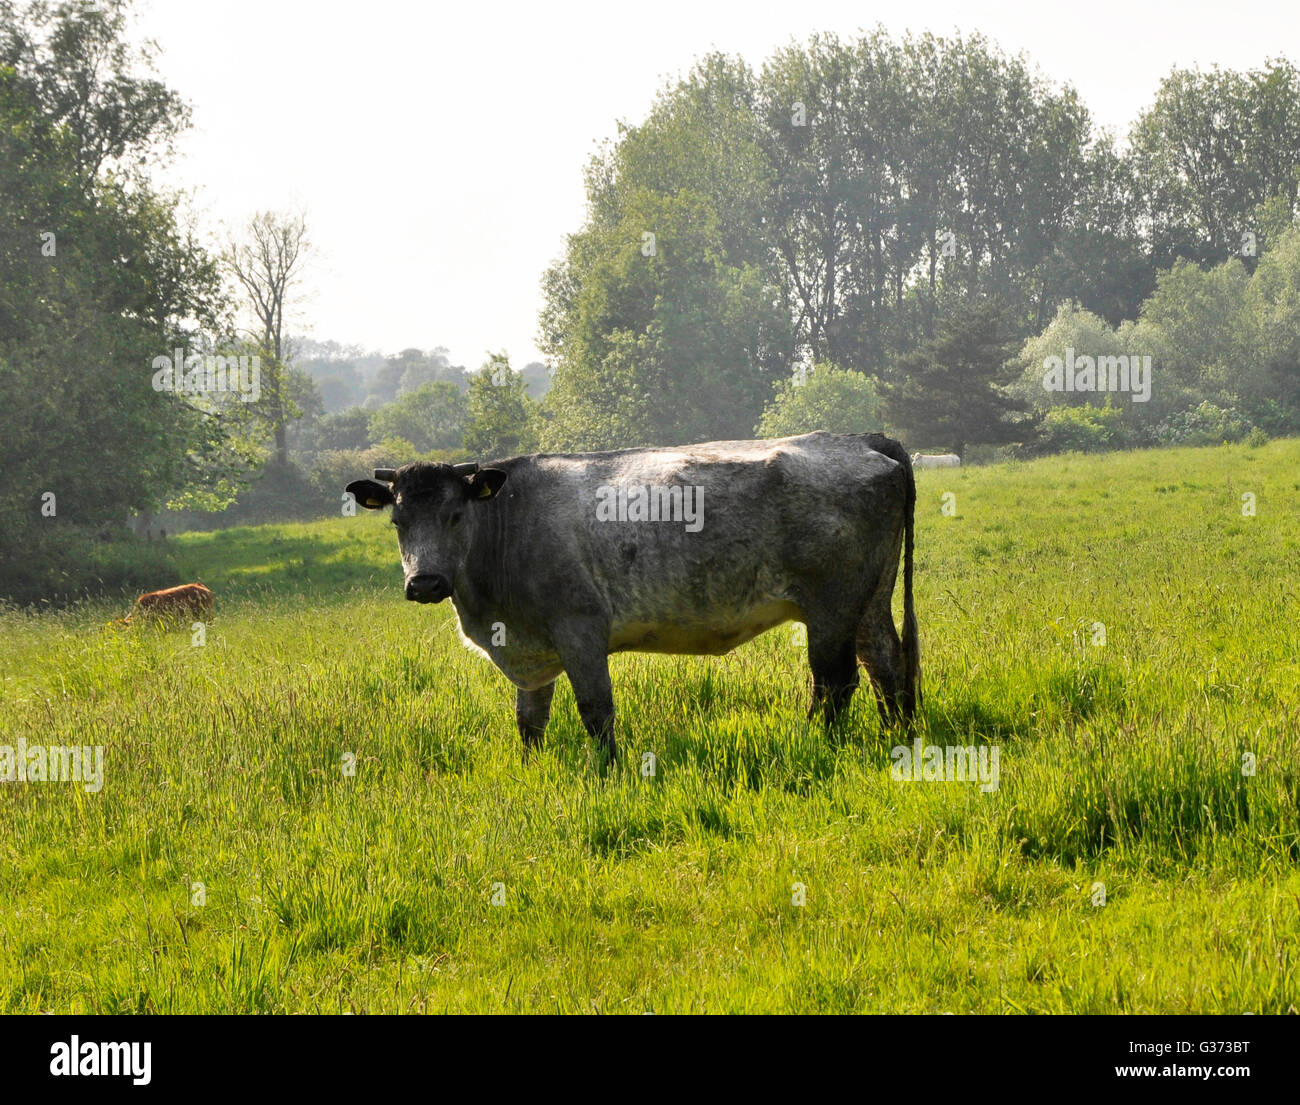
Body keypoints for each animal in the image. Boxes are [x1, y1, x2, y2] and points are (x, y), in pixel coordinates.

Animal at [346, 431, 920, 762]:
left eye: (455, 514)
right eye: (397, 521)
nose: (425, 583)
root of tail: (859, 437)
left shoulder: (578, 627)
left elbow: (595, 708)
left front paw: (609, 772)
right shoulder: (531, 643)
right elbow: (529, 720)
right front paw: (531, 772)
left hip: (832, 605)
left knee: (835, 681)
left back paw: (814, 742)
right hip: (869, 599)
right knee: (887, 664)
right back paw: (899, 738)